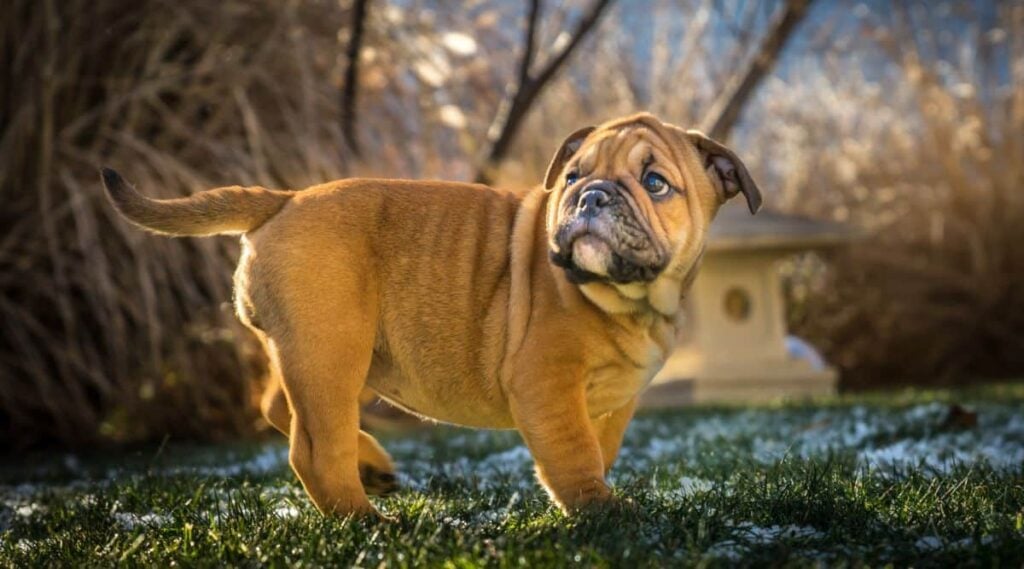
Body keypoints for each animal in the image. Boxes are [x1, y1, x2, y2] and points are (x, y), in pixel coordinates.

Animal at [103, 113, 761, 517]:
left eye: (656, 183)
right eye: (574, 175)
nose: (590, 195)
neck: (630, 300)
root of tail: (284, 199)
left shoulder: (616, 398)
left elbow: (600, 444)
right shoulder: (545, 381)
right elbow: (573, 449)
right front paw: (599, 510)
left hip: (319, 351)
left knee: (279, 409)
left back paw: (373, 470)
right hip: (331, 350)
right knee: (313, 447)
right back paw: (367, 521)